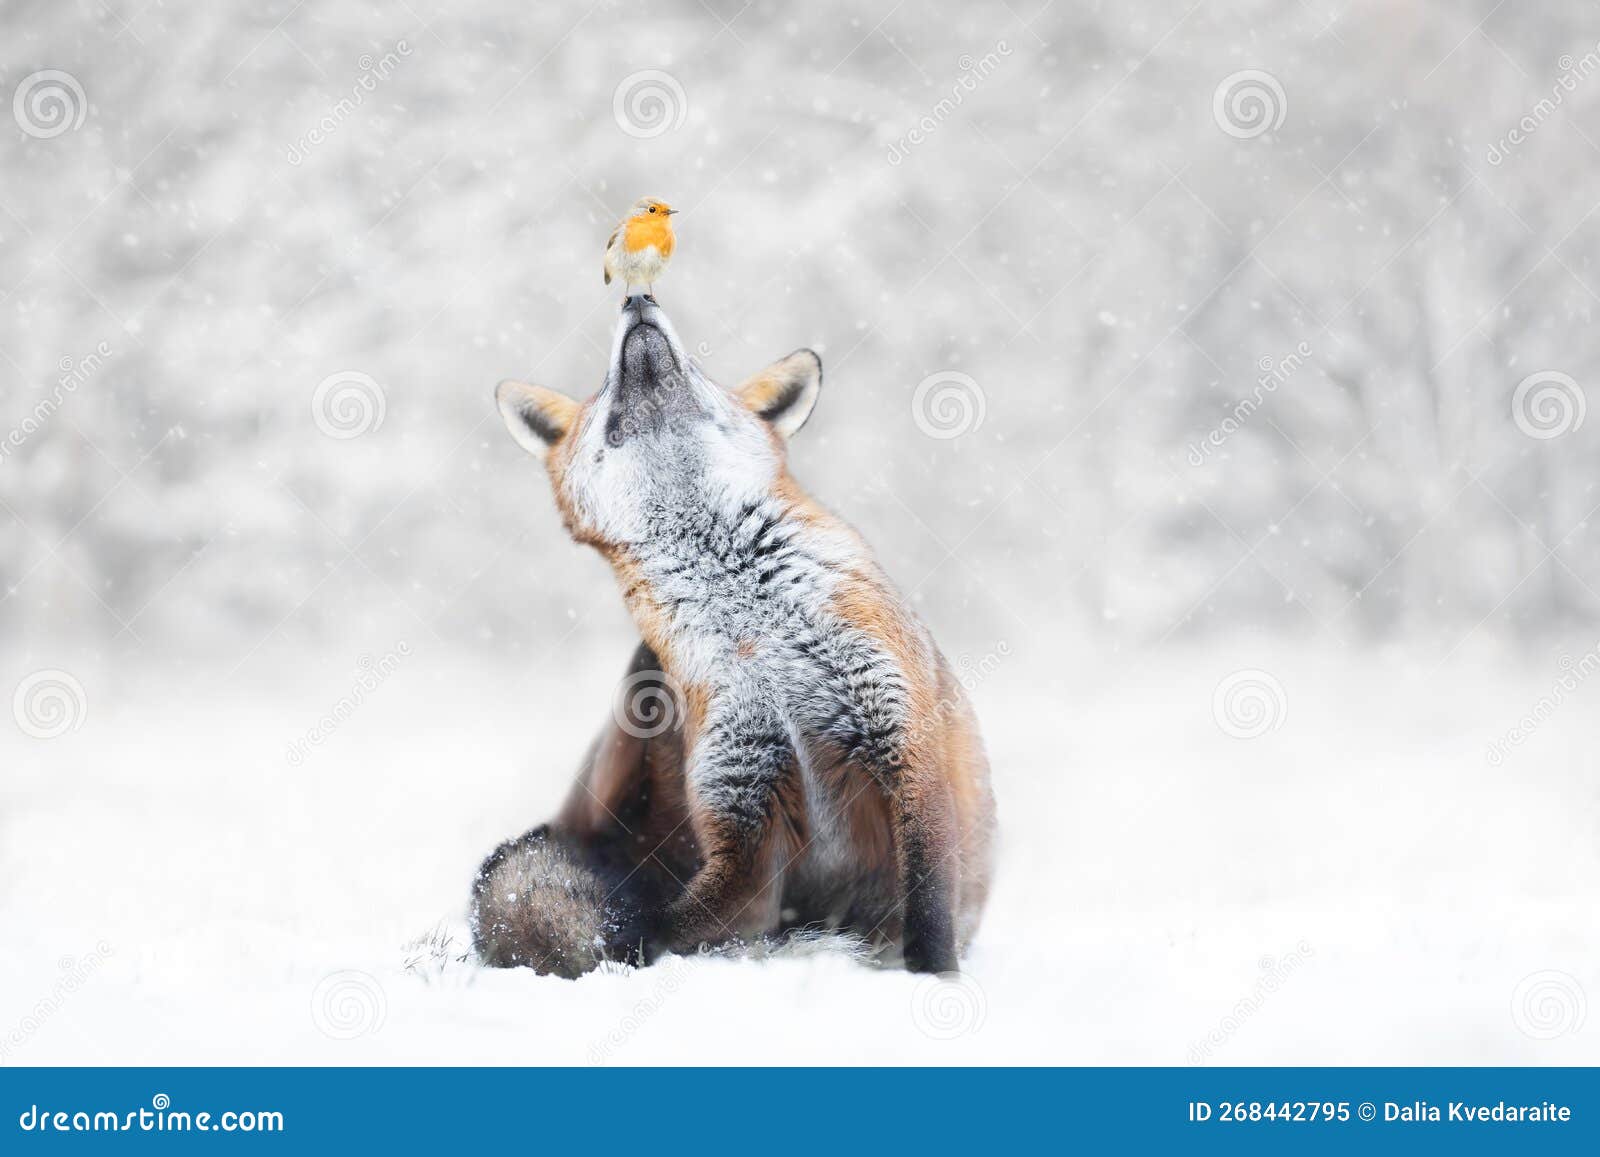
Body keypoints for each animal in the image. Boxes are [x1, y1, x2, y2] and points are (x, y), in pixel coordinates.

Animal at [470, 295, 995, 976]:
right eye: (602, 385)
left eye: (700, 371)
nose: (637, 300)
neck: (763, 642)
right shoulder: (742, 804)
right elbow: (670, 929)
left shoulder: (905, 739)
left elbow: (930, 914)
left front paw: (938, 982)